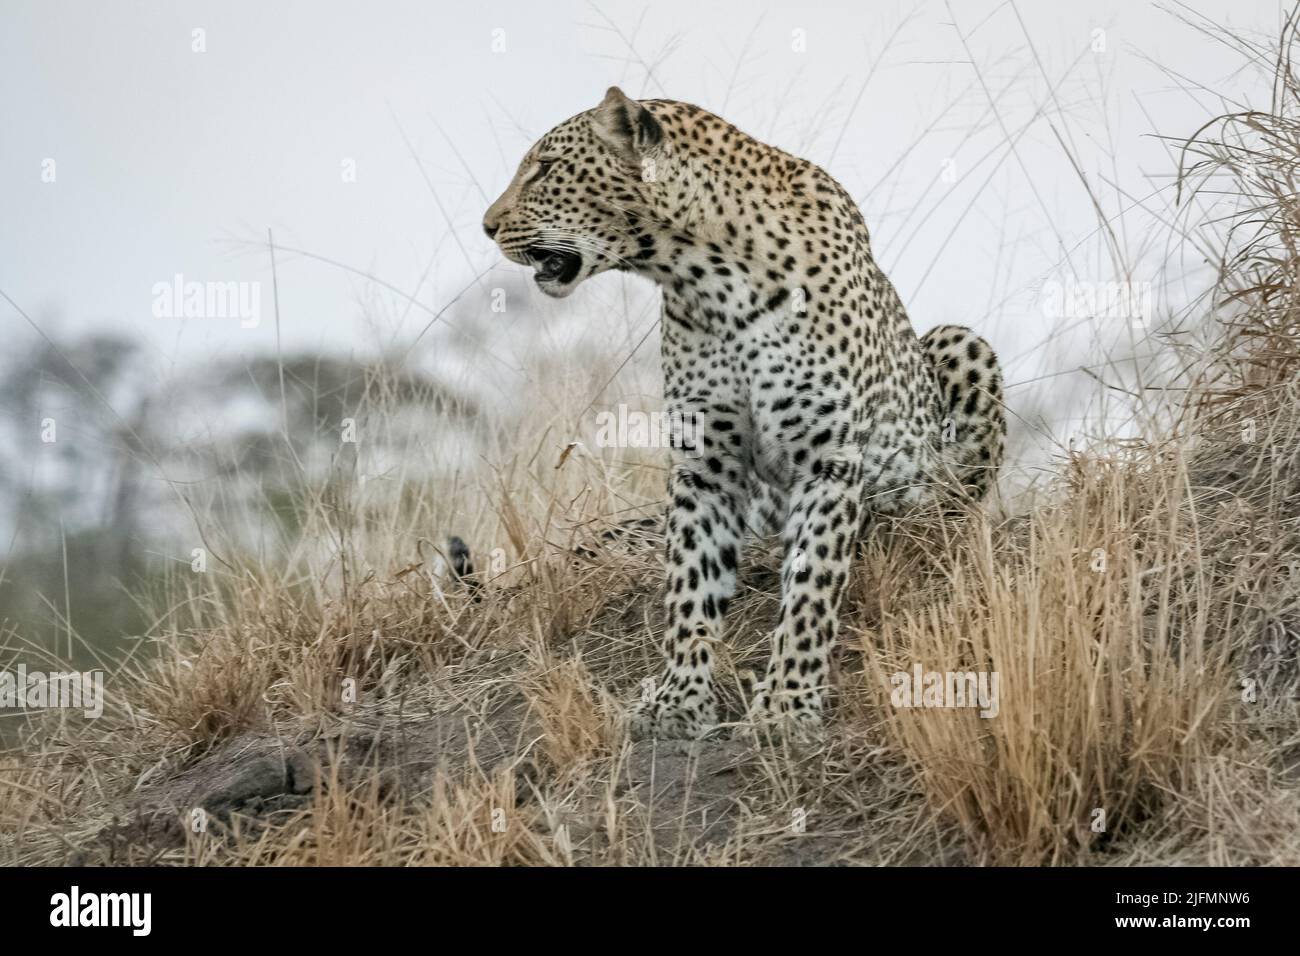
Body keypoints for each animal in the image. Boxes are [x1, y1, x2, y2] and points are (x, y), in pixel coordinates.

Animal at [482, 87, 1006, 740]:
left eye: (546, 168)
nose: (487, 226)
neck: (706, 275)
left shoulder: (828, 460)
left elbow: (811, 587)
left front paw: (787, 704)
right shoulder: (705, 463)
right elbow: (690, 585)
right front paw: (678, 699)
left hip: (961, 347)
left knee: (949, 503)